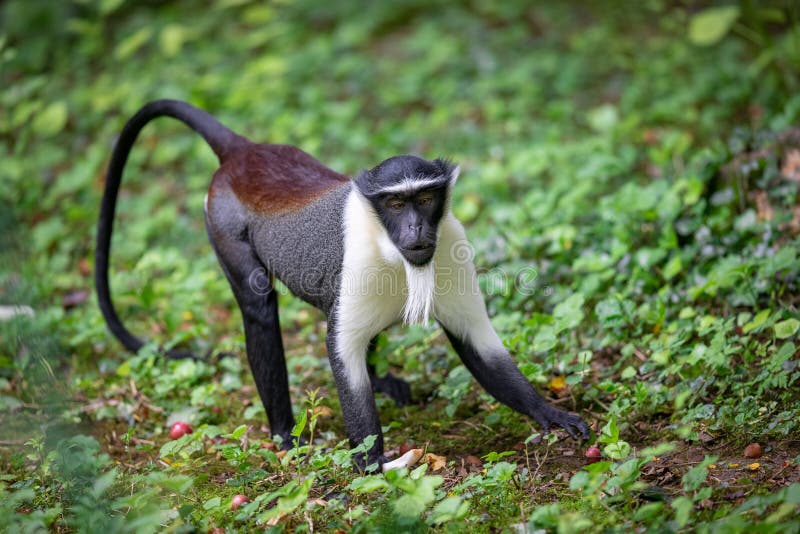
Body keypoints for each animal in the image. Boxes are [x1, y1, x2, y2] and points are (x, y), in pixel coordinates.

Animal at [96, 100, 589, 471]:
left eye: (426, 198)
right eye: (396, 204)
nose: (416, 229)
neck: (392, 249)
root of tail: (244, 151)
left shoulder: (452, 244)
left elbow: (477, 342)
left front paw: (549, 412)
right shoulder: (358, 266)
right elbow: (343, 350)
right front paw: (371, 463)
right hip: (222, 225)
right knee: (259, 308)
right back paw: (285, 436)